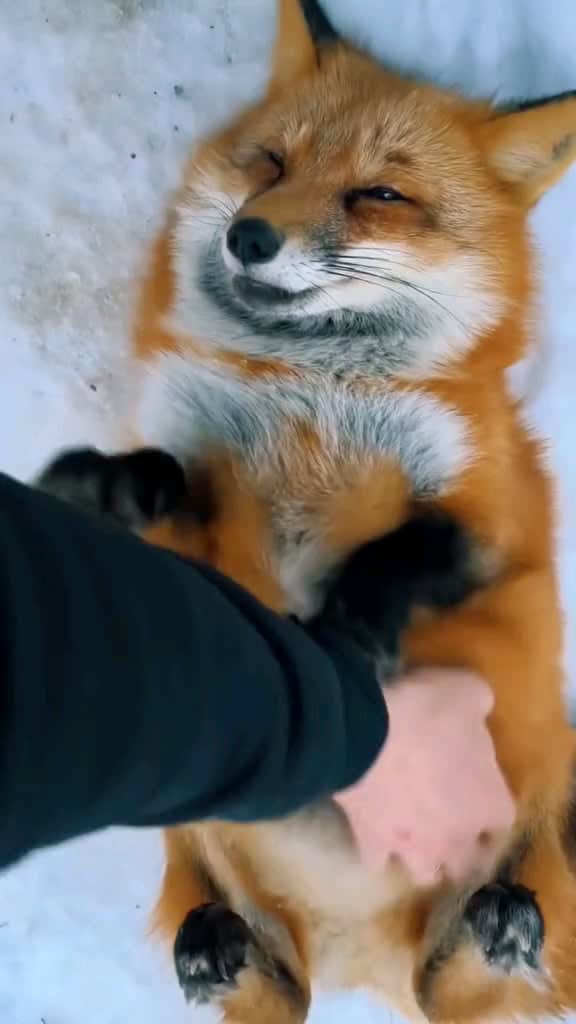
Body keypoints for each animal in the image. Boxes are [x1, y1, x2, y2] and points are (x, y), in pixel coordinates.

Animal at [37, 0, 576, 1021]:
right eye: (271, 163)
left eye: (380, 195)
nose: (251, 236)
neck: (309, 392)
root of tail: (362, 964)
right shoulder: (204, 507)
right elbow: (167, 488)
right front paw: (108, 492)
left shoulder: (491, 510)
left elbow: (415, 547)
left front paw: (356, 620)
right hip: (214, 862)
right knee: (257, 957)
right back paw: (218, 946)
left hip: (534, 837)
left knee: (499, 943)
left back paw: (503, 919)